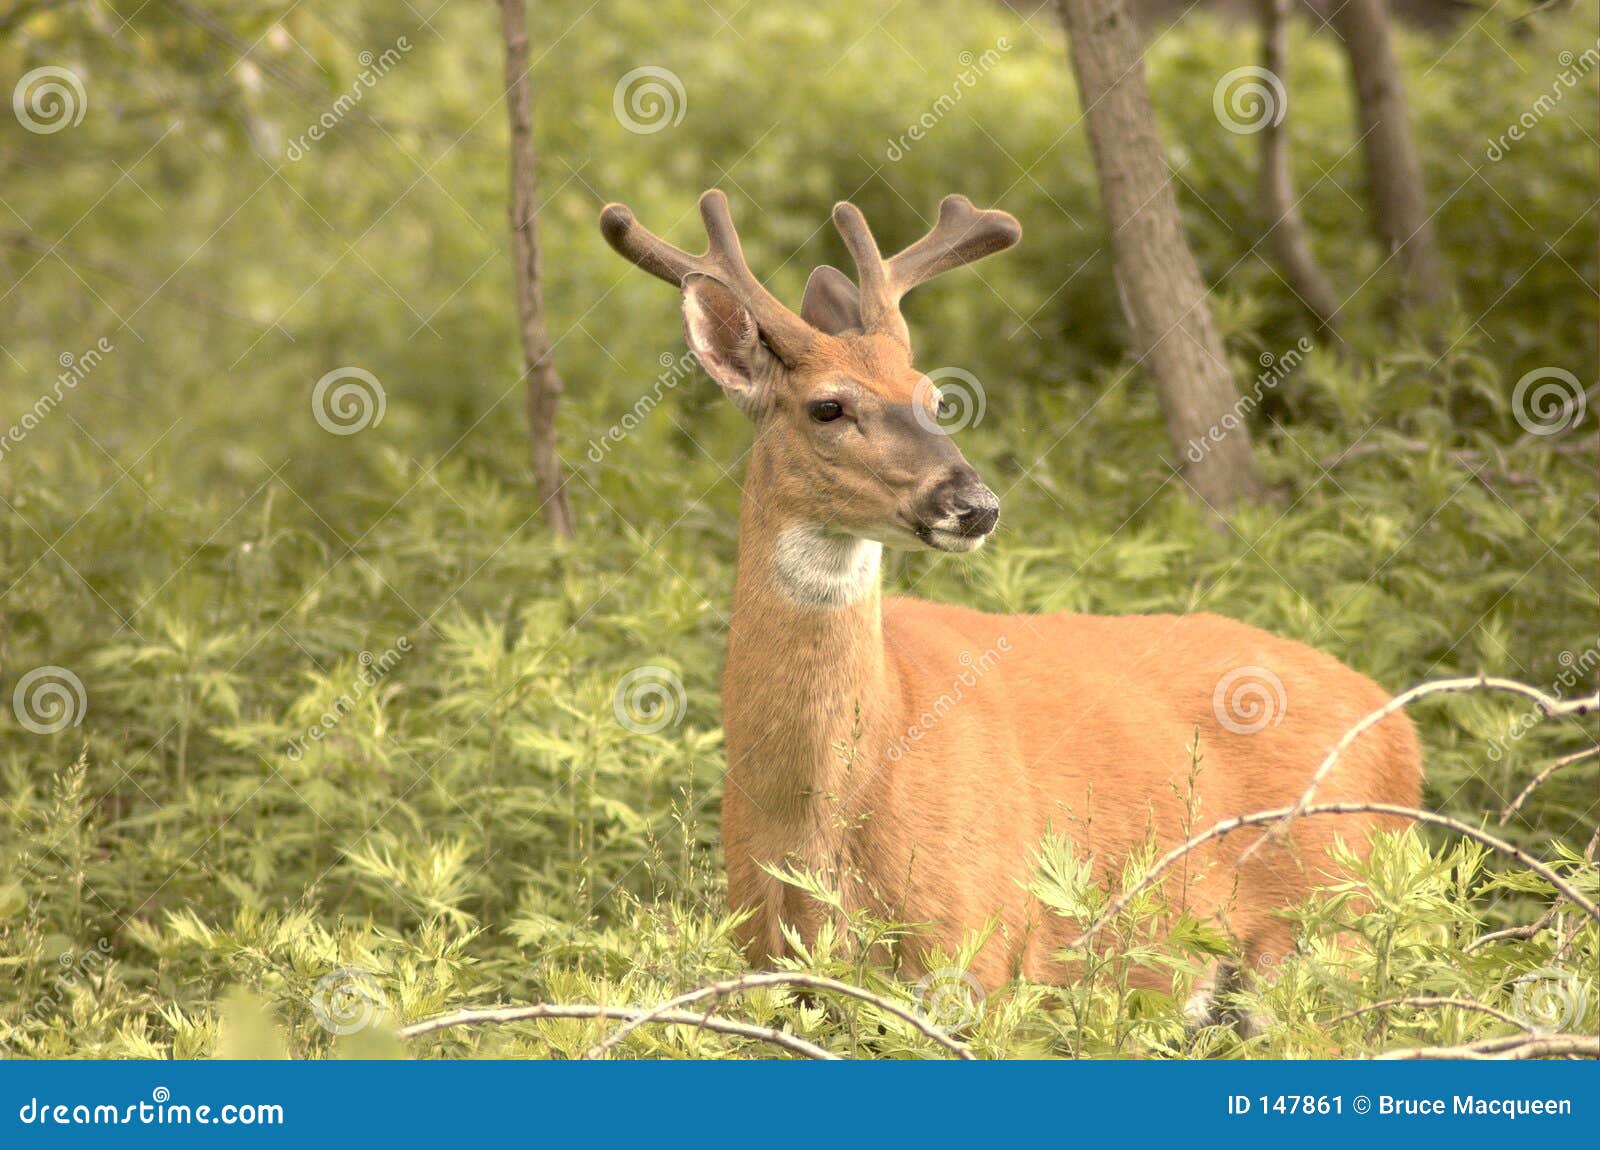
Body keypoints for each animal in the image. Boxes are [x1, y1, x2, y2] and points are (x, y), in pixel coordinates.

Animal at [599, 188, 1423, 1023]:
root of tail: (1400, 729)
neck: (820, 811)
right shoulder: (760, 966)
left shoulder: (975, 951)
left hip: (1327, 927)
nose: (974, 504)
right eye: (827, 407)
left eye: (935, 397)